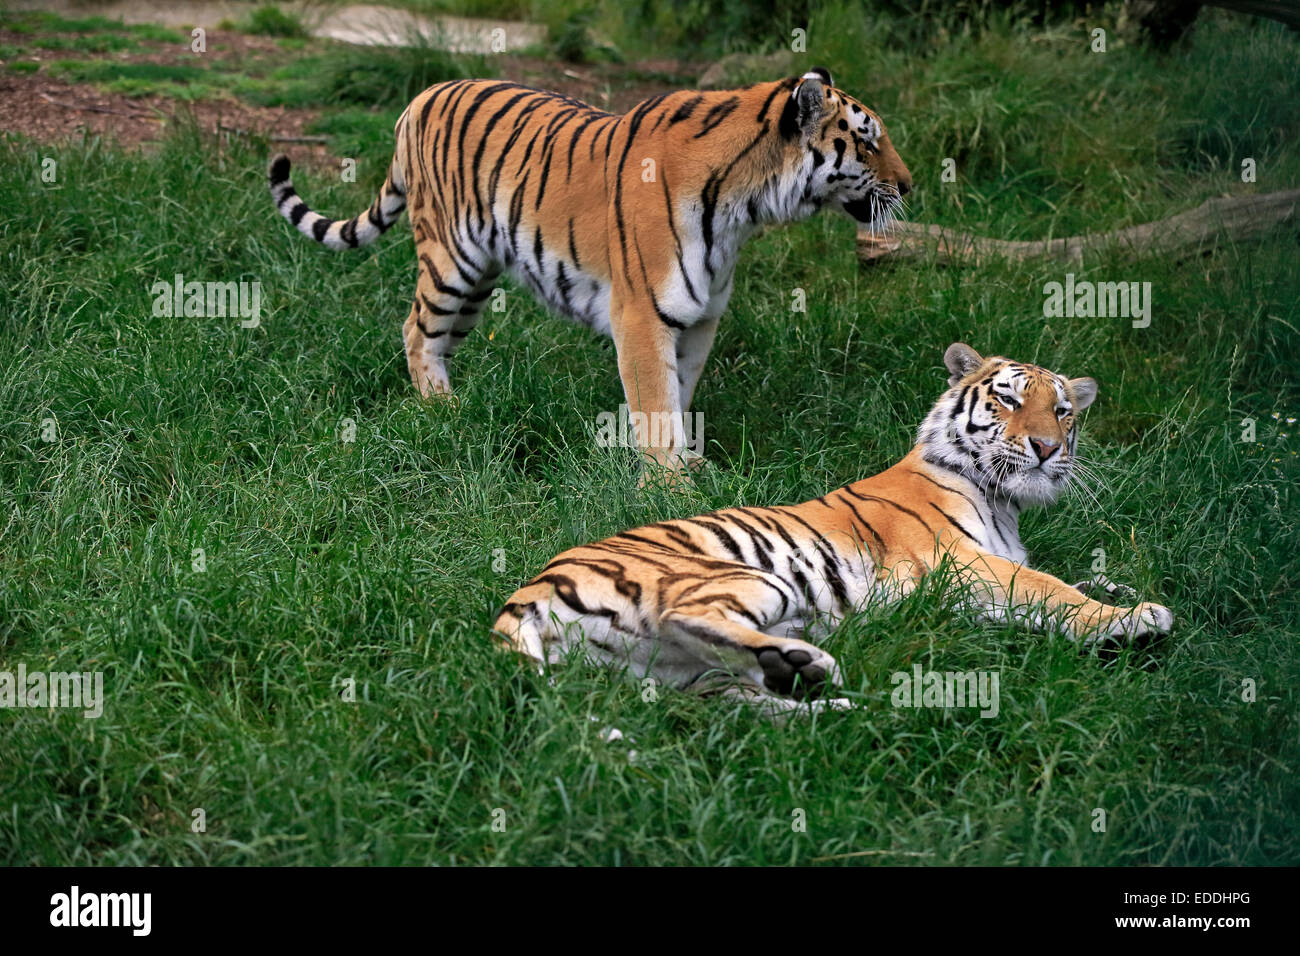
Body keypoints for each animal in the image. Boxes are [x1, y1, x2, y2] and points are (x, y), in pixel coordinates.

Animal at [266, 68, 911, 478]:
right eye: (867, 142)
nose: (909, 186)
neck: (747, 208)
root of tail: (417, 101)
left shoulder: (700, 317)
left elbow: (680, 393)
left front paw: (687, 462)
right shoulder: (642, 314)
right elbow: (656, 407)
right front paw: (670, 489)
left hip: (477, 282)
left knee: (434, 335)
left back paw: (457, 409)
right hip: (452, 261)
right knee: (415, 329)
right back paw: (438, 412)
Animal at [492, 343, 1174, 714]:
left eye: (1062, 411)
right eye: (1008, 400)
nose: (1046, 446)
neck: (1003, 500)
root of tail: (527, 591)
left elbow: (1059, 585)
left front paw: (1117, 594)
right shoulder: (959, 565)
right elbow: (1049, 589)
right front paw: (1136, 617)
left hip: (678, 678)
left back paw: (826, 697)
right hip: (749, 581)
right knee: (684, 615)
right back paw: (812, 663)